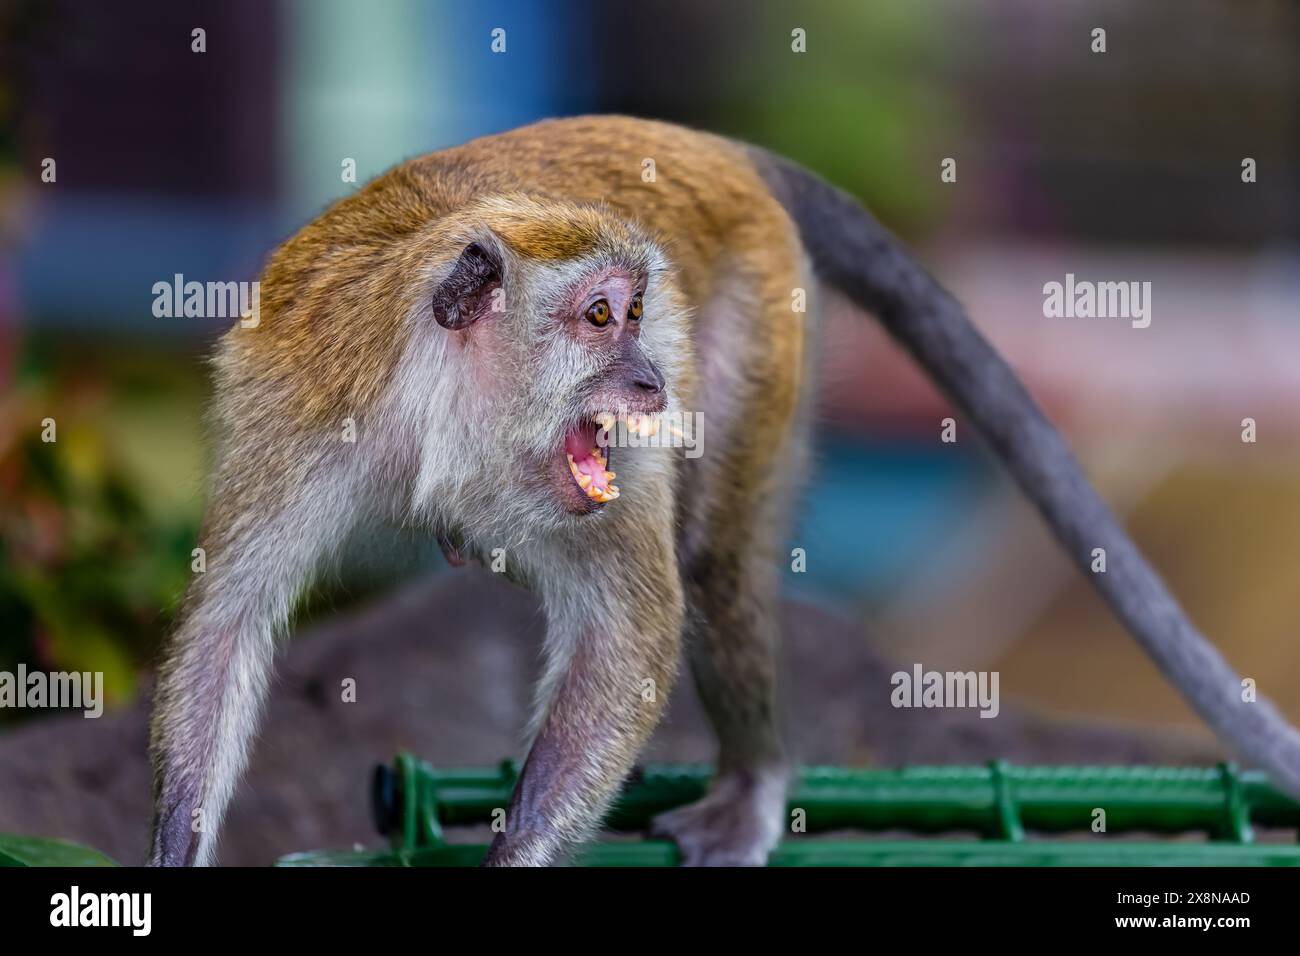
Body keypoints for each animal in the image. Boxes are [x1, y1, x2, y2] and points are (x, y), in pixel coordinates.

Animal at [148, 115, 1300, 866]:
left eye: (635, 311)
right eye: (600, 316)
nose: (653, 379)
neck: (436, 419)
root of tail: (713, 145)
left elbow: (632, 635)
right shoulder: (296, 410)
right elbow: (229, 628)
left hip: (760, 315)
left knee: (712, 560)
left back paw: (753, 783)